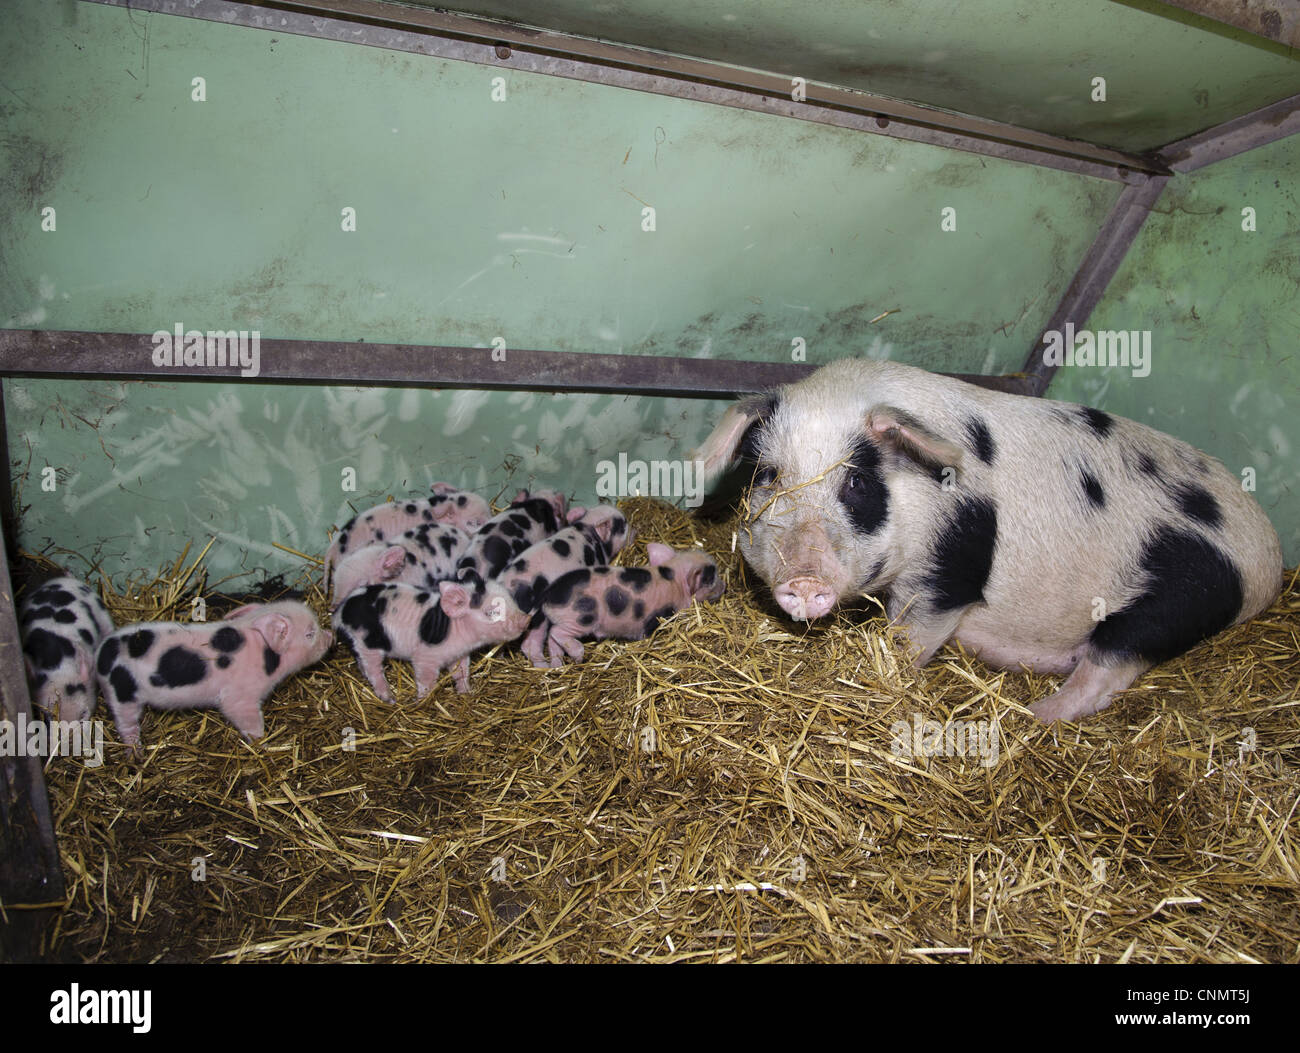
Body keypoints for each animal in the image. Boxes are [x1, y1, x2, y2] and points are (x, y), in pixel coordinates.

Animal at [96, 600, 332, 753]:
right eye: (310, 634)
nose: (331, 636)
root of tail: (103, 650)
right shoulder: (240, 697)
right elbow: (247, 720)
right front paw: (262, 744)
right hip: (122, 695)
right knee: (126, 724)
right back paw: (136, 753)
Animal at [332, 577, 530, 701]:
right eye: (491, 612)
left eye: (512, 600)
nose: (526, 619)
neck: (454, 628)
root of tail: (339, 614)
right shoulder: (425, 657)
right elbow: (426, 680)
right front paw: (422, 701)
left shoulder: (459, 655)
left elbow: (461, 674)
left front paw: (466, 693)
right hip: (366, 643)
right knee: (374, 670)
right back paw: (389, 698)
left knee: (362, 665)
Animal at [522, 542, 724, 667]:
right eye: (711, 578)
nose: (725, 586)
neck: (674, 580)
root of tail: (548, 592)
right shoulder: (656, 618)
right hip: (581, 618)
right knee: (557, 633)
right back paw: (579, 655)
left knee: (551, 637)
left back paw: (557, 665)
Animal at [694, 357, 1283, 723]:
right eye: (769, 475)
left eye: (858, 484)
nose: (802, 579)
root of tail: (1271, 559)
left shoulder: (952, 567)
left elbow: (912, 635)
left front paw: (892, 671)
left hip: (1172, 605)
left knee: (1107, 672)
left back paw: (1035, 718)